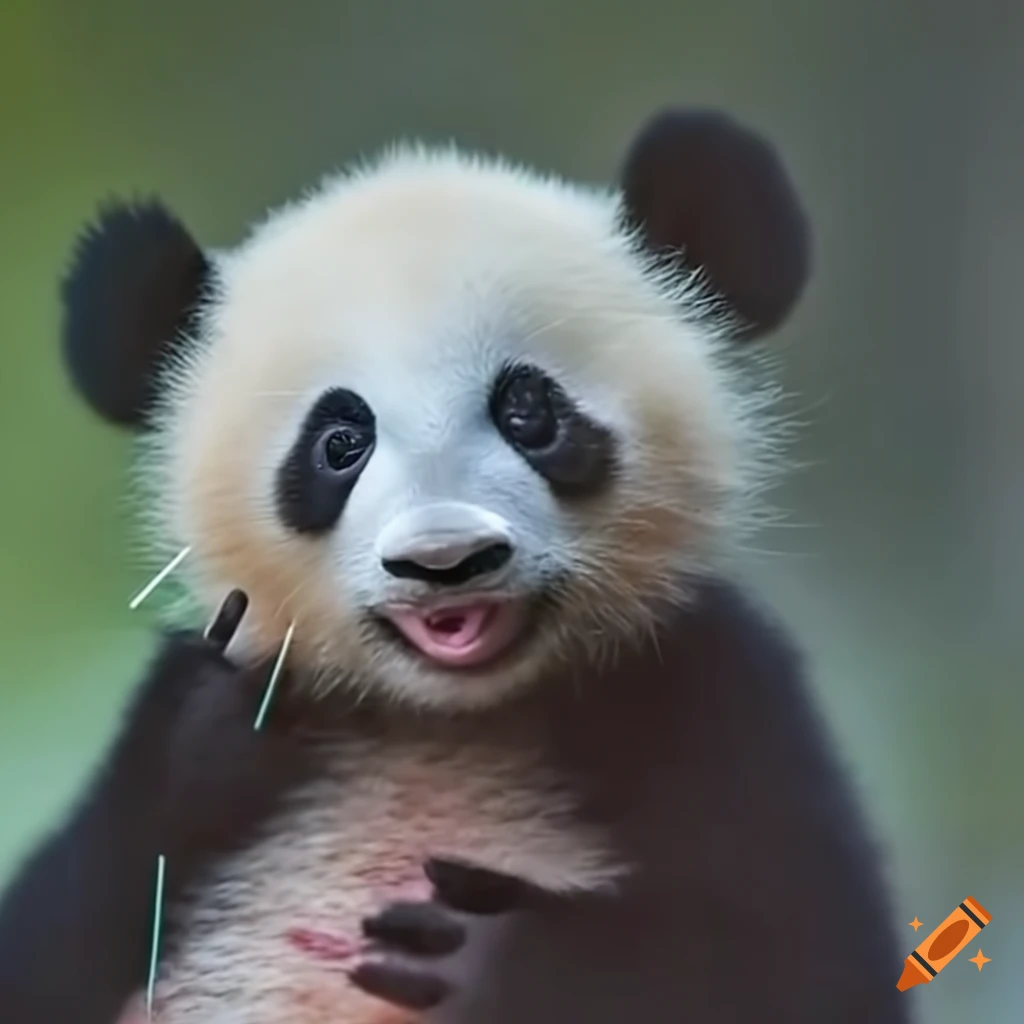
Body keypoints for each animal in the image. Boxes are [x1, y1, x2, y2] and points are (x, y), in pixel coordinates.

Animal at [0, 107, 909, 1024]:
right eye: (340, 442)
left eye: (528, 409)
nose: (446, 559)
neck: (442, 722)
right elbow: (53, 933)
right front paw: (227, 720)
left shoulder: (716, 689)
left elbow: (794, 961)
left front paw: (476, 953)